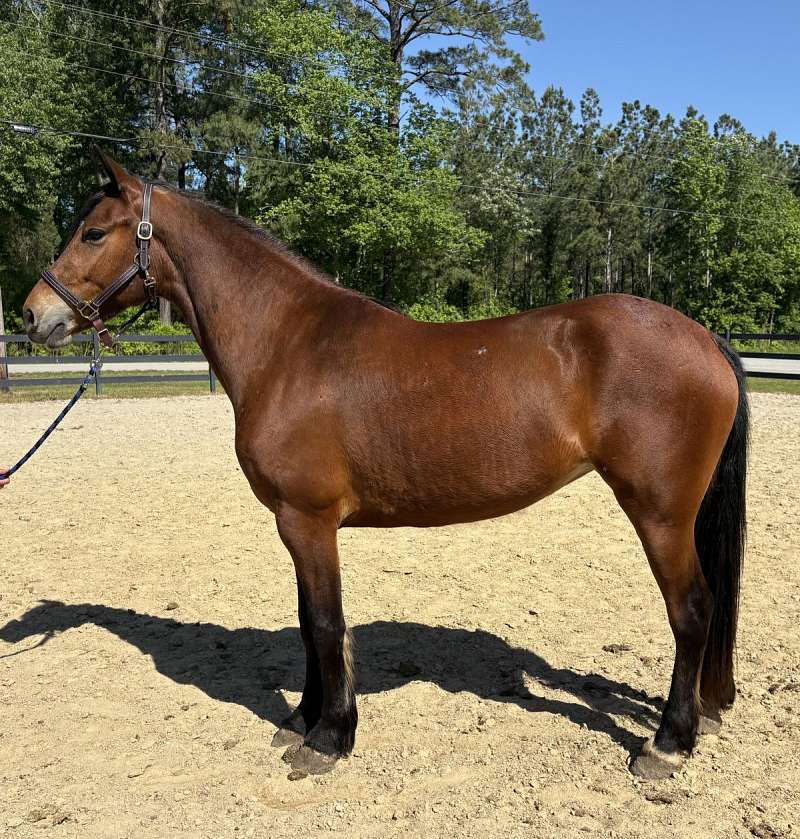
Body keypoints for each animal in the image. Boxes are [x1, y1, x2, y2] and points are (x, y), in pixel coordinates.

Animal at [21, 152, 748, 779]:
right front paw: (303, 718)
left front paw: (329, 738)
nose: (33, 314)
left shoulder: (308, 519)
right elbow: (308, 621)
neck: (288, 342)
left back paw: (667, 742)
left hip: (659, 514)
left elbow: (325, 623)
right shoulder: (298, 525)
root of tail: (704, 337)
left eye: (93, 232)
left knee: (691, 611)